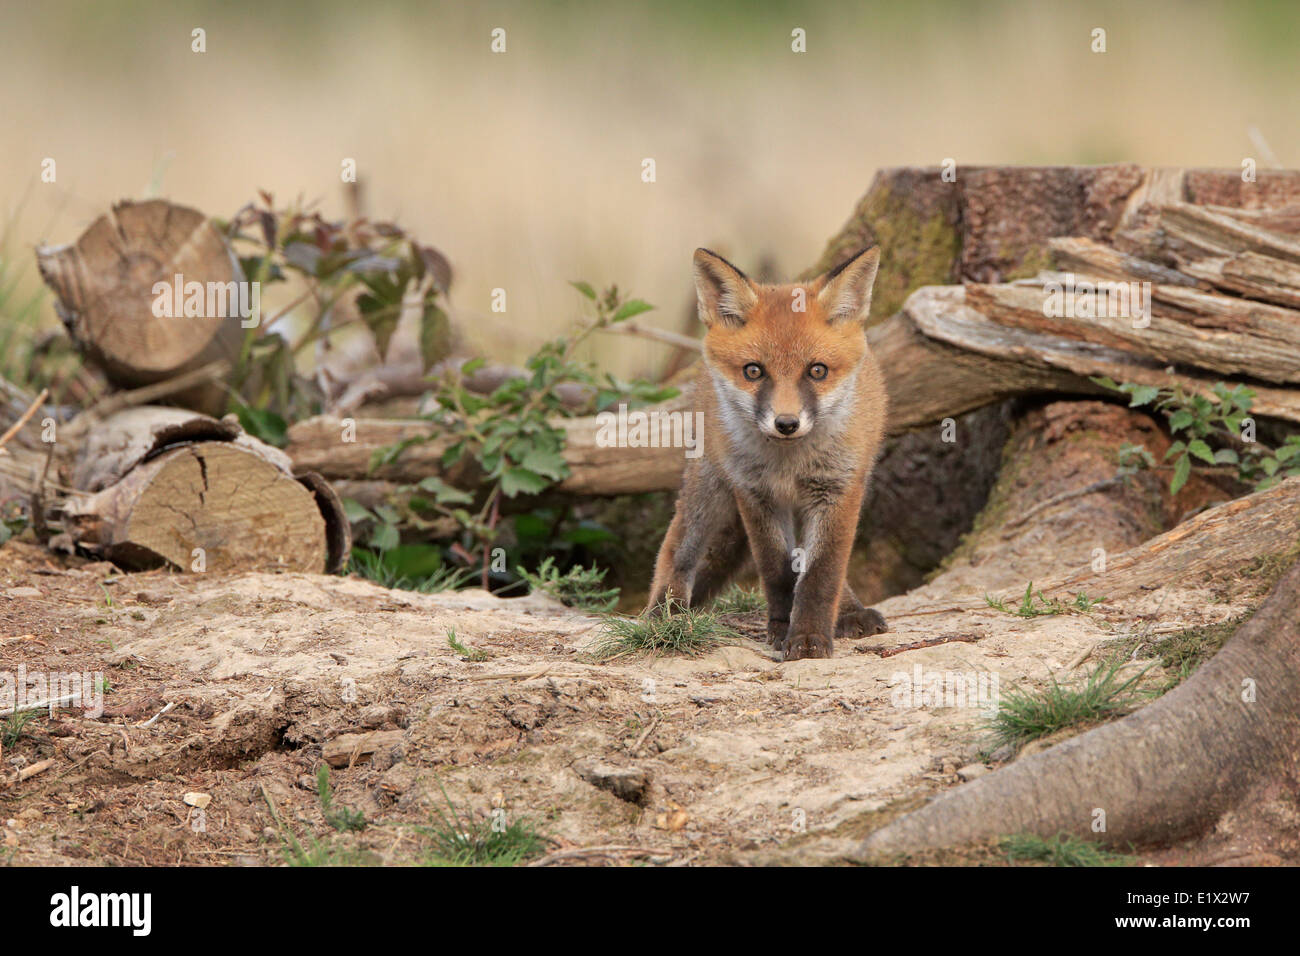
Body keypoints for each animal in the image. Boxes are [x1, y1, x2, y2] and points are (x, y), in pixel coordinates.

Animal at [646, 246, 890, 661]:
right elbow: (776, 568)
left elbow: (823, 572)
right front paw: (780, 628)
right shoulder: (754, 492)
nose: (786, 423)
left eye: (817, 371)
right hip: (709, 483)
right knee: (678, 546)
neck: (789, 464)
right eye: (754, 371)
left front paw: (809, 636)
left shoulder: (838, 490)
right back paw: (664, 611)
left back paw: (849, 610)